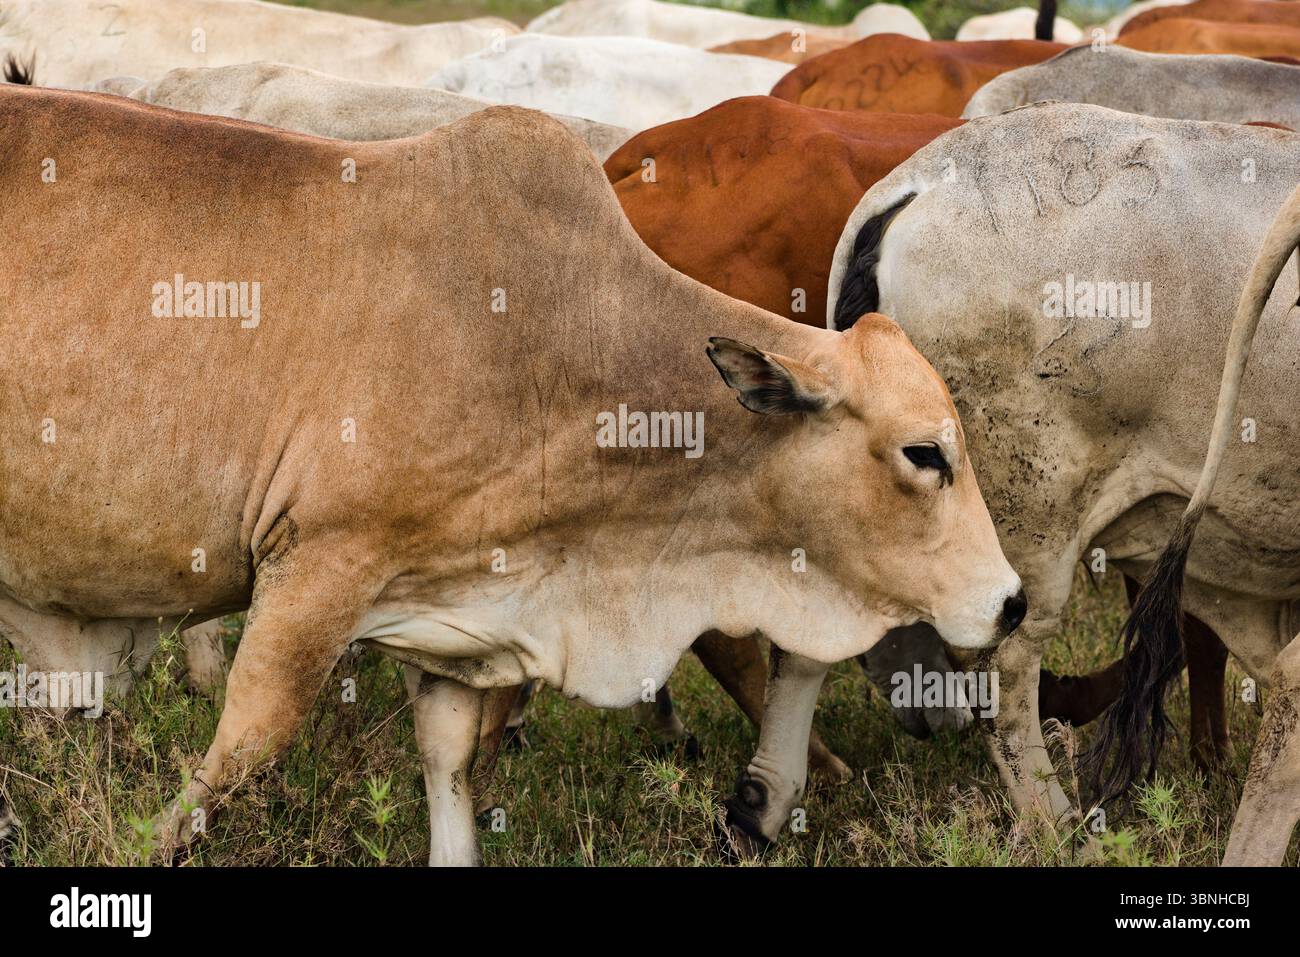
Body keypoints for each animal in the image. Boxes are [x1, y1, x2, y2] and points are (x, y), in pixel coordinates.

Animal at [0, 86, 1024, 865]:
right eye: (924, 453)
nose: (1011, 603)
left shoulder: (454, 609)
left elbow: (450, 767)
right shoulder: (319, 566)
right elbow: (247, 740)